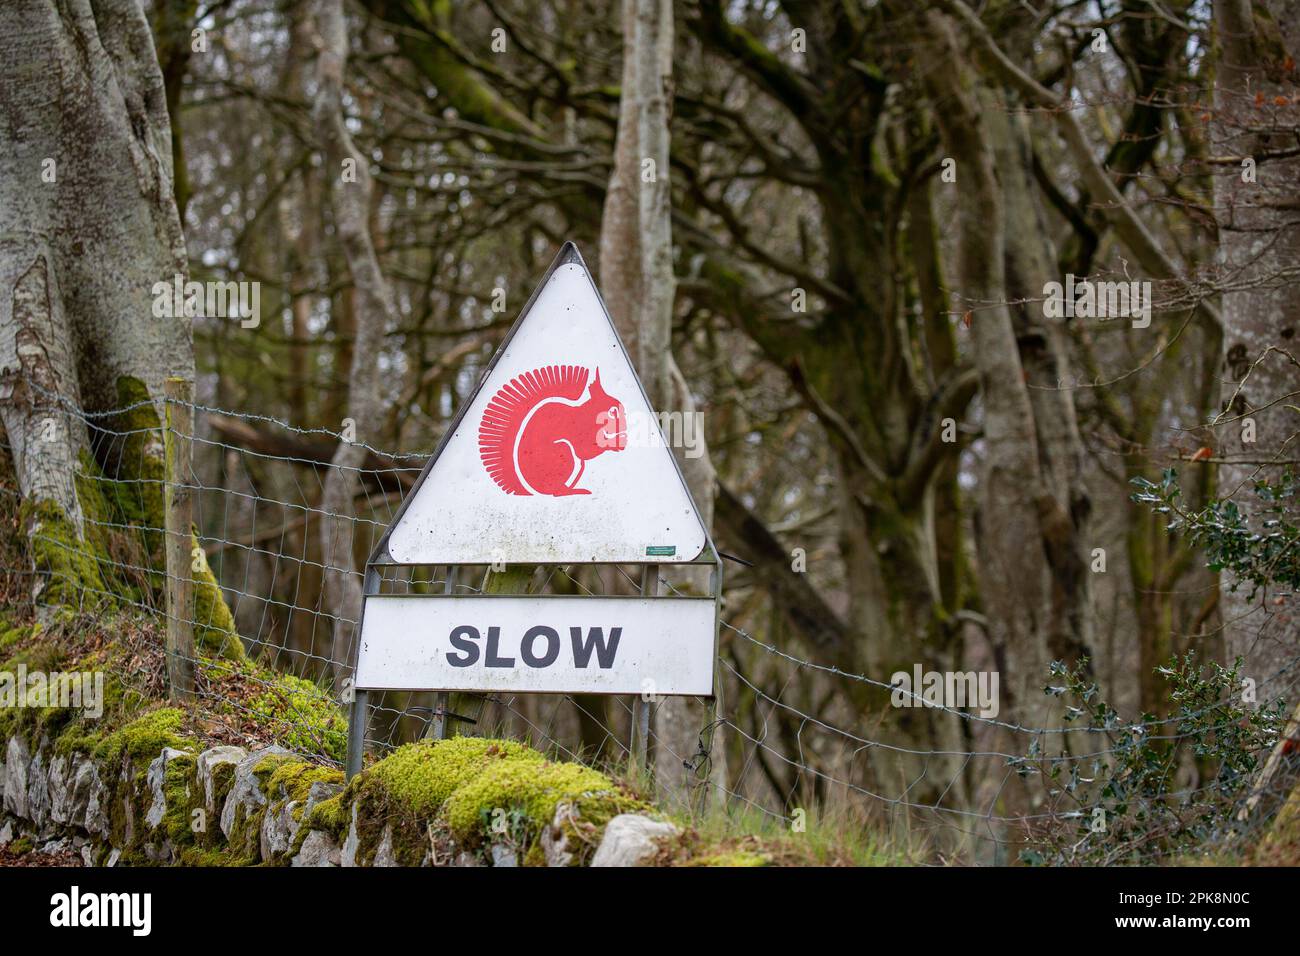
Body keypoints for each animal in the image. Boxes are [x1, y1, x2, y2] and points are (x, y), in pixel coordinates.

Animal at [478, 365, 628, 496]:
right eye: (612, 411)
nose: (625, 426)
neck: (588, 414)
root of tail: (533, 491)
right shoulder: (576, 431)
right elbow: (584, 450)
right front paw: (616, 443)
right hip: (563, 453)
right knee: (556, 492)